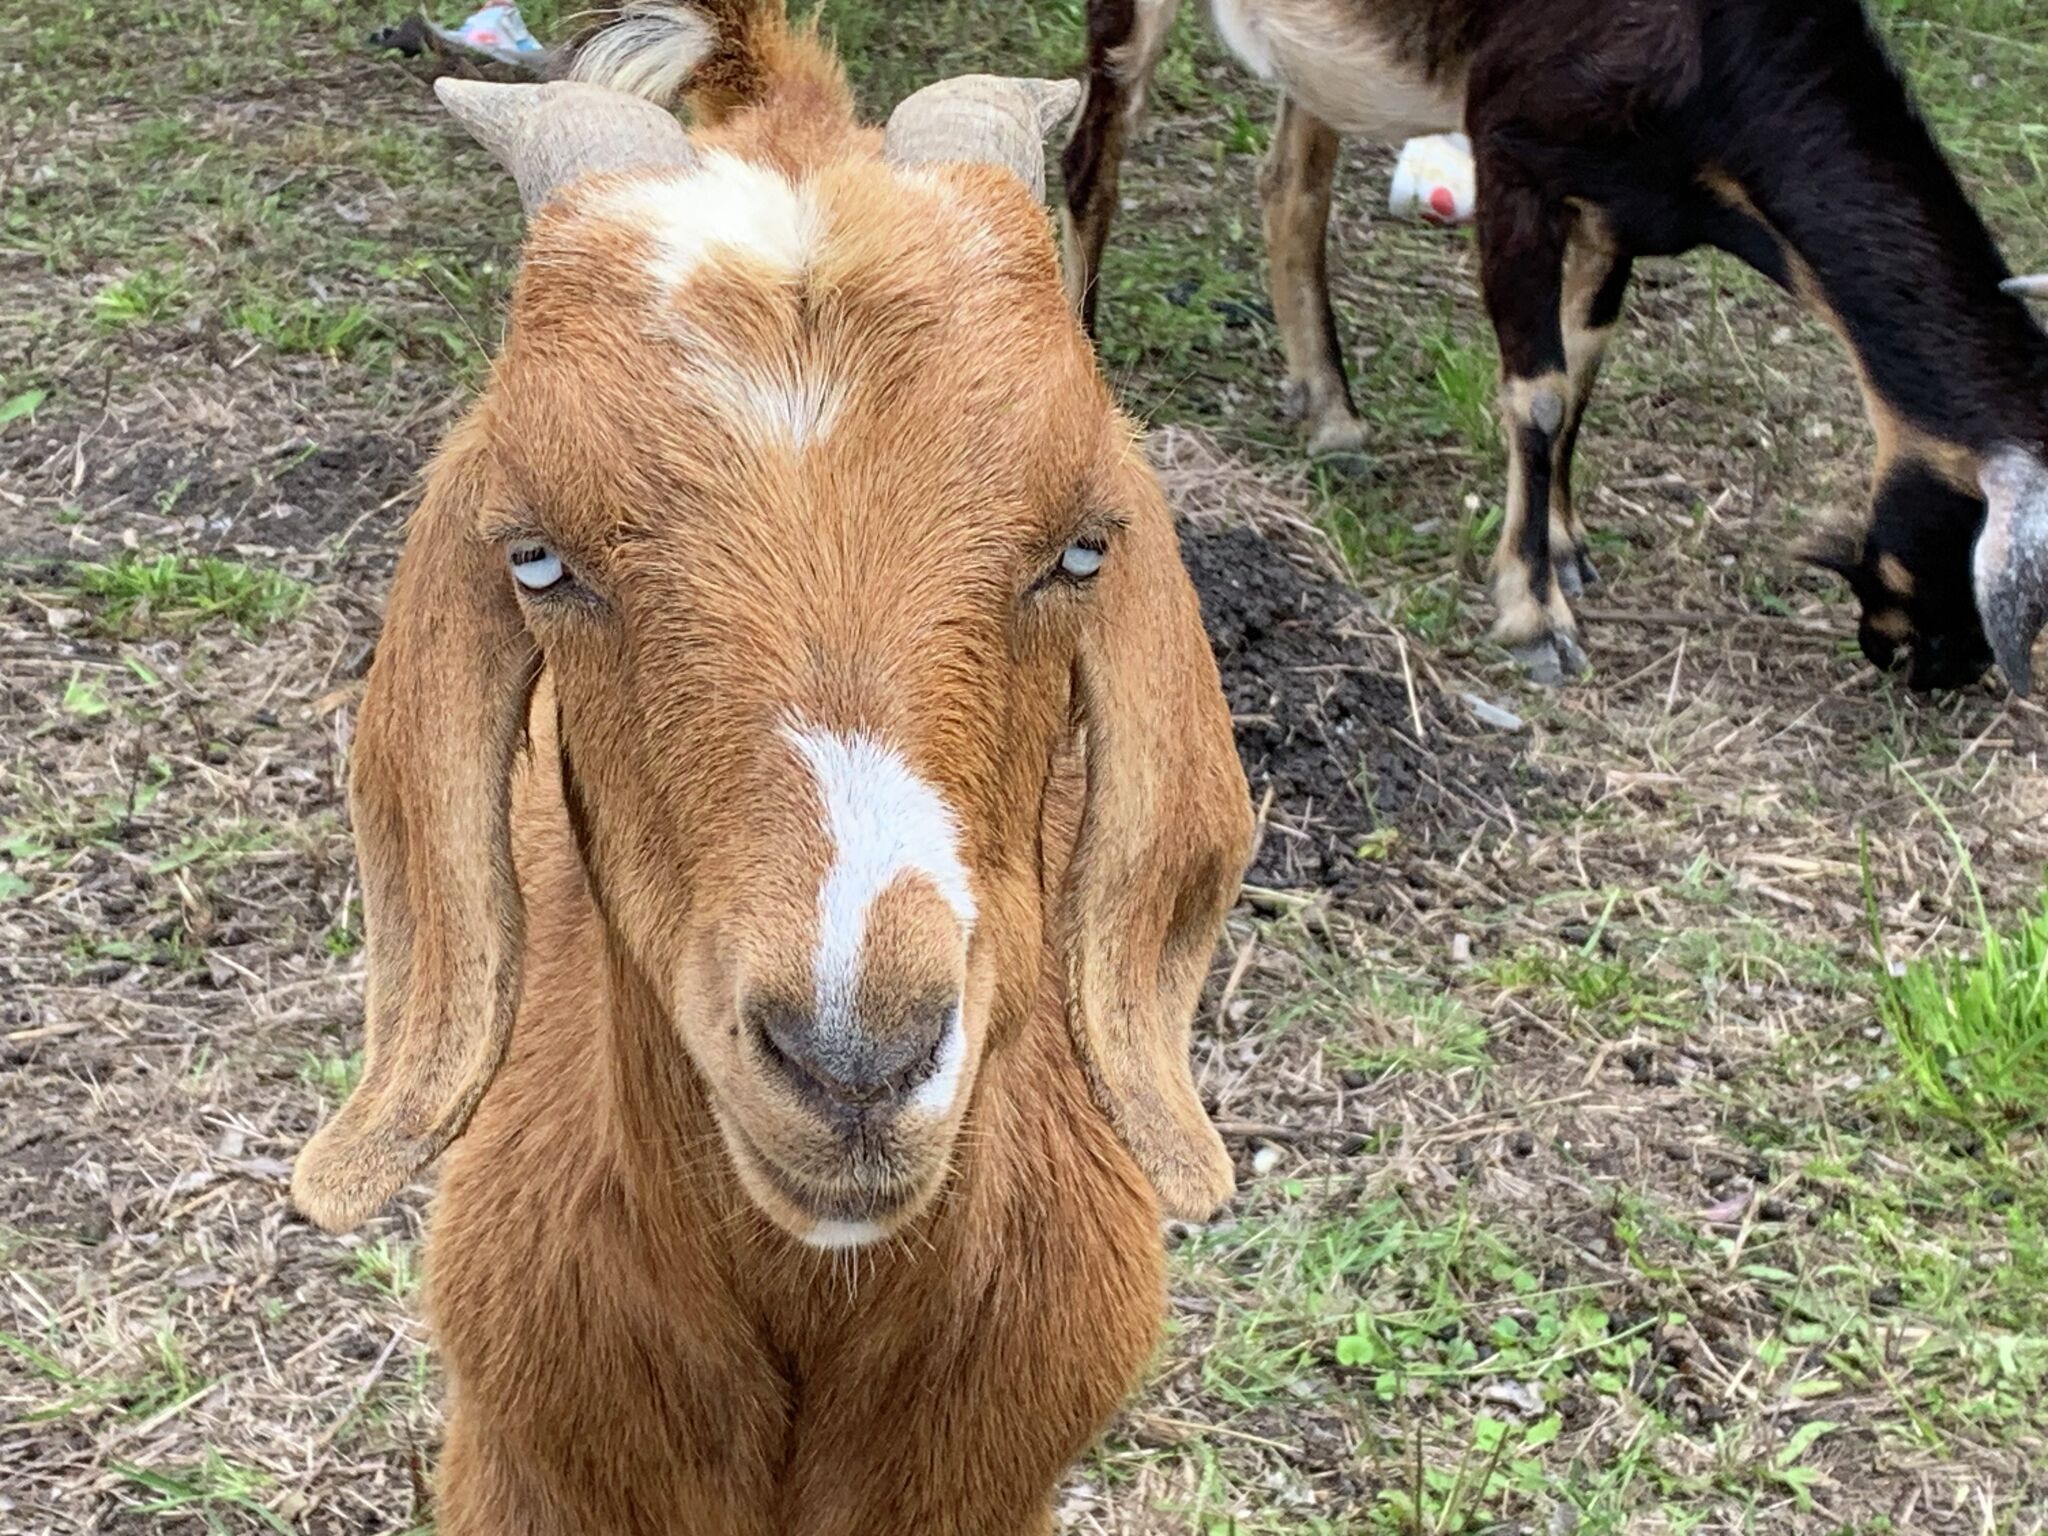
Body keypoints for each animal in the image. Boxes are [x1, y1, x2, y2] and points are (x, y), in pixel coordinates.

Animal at [1063, 0, 2048, 692]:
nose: (1937, 669)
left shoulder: (1623, 202)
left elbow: (1583, 364)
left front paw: (1566, 545)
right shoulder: (1510, 147)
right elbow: (1536, 394)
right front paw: (1535, 616)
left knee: (1291, 182)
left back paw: (1334, 416)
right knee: (1093, 160)